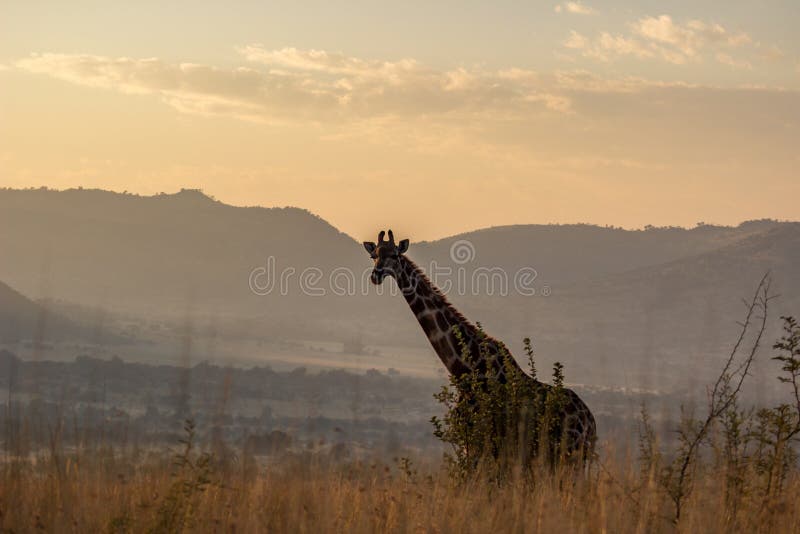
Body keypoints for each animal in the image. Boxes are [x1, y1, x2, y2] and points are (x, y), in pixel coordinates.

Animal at [363, 229, 596, 462]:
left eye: (395, 255)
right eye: (373, 255)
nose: (376, 275)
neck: (463, 368)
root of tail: (591, 424)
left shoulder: (483, 442)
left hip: (568, 453)